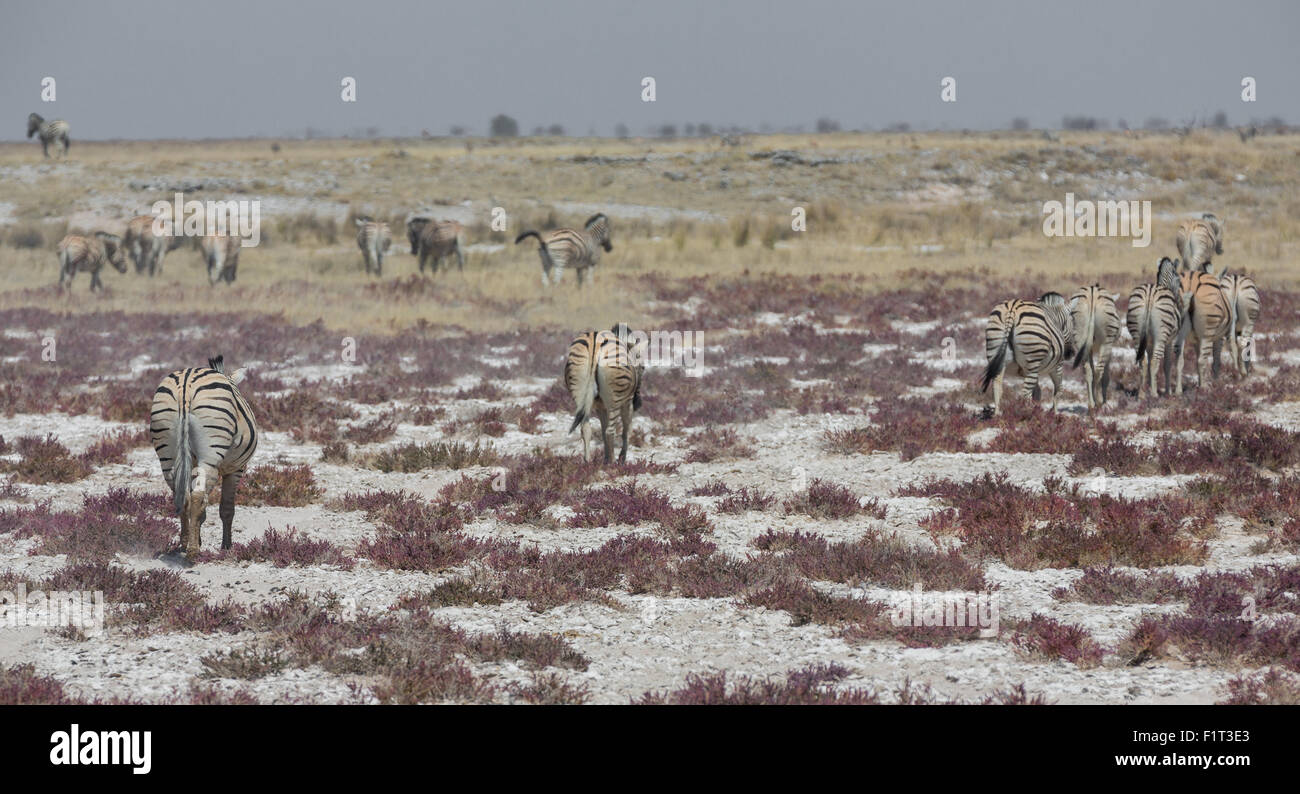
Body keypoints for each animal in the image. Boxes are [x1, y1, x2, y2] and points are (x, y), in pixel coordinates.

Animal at [150, 356, 258, 561]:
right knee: (198, 496)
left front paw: (199, 538)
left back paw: (184, 543)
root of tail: (185, 386)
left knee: (182, 495)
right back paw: (193, 551)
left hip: (167, 451)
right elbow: (226, 509)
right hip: (211, 451)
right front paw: (227, 547)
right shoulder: (236, 469)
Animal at [565, 322, 645, 463]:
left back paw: (588, 461)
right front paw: (621, 458)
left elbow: (601, 431)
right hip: (615, 399)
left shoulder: (600, 406)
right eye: (643, 368)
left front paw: (606, 458)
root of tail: (595, 345)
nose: (638, 403)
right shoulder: (628, 402)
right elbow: (626, 430)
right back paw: (613, 462)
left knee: (586, 428)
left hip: (580, 393)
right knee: (610, 430)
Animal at [1069, 285, 1121, 414]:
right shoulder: (1110, 348)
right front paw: (1104, 402)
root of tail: (1092, 293)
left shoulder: (1089, 349)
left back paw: (1091, 405)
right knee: (1099, 371)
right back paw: (1098, 402)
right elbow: (1106, 376)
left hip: (1079, 338)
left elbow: (1091, 371)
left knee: (1087, 371)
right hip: (1106, 343)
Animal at [1127, 259, 1182, 398]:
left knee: (1143, 361)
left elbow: (1149, 362)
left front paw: (1150, 387)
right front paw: (1168, 392)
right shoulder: (1170, 341)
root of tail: (1149, 295)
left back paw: (1141, 394)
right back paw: (1154, 394)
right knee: (1155, 362)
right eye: (1179, 279)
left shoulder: (1149, 342)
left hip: (1137, 333)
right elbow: (1167, 364)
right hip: (1162, 335)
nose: (1179, 299)